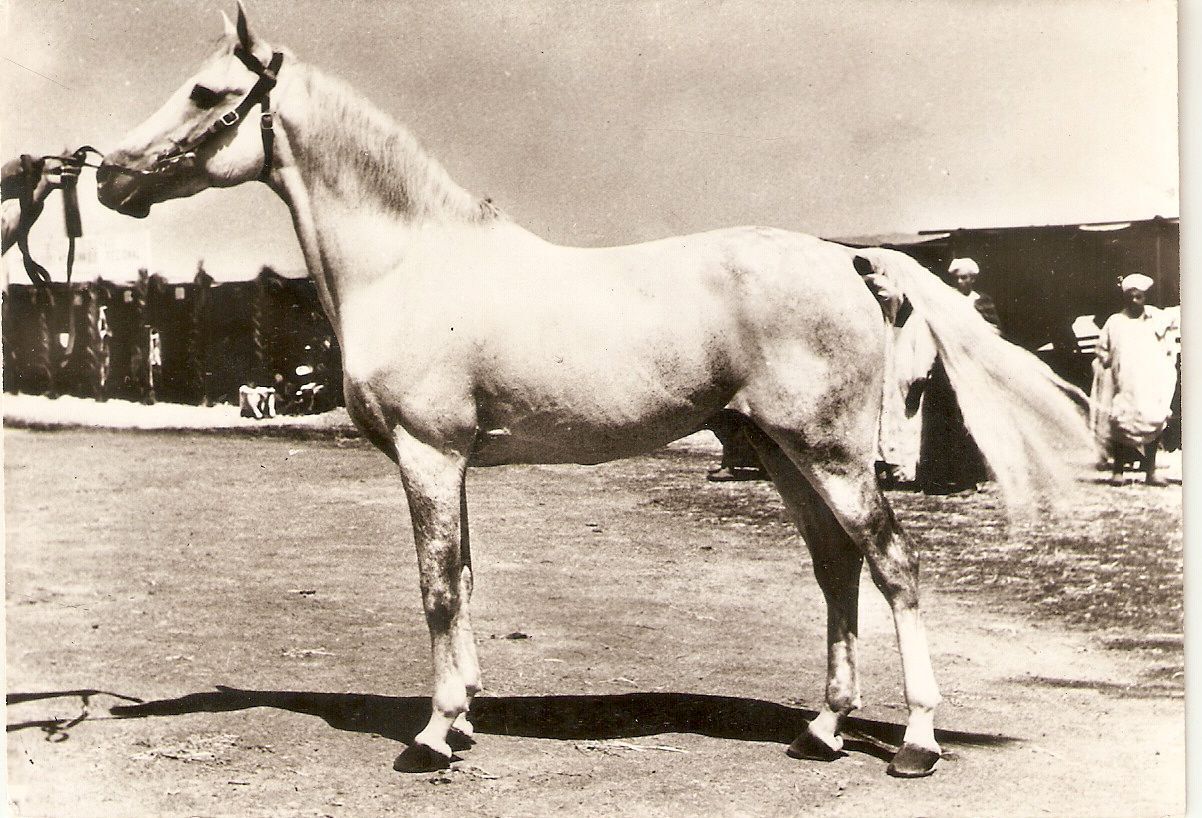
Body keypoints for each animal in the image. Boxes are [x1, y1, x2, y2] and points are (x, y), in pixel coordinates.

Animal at [96, 4, 1091, 778]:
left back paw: (916, 742)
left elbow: (437, 588)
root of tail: (848, 258)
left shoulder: (428, 456)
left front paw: (431, 739)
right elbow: (464, 576)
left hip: (835, 456)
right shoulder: (453, 465)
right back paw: (822, 731)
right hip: (780, 453)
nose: (107, 176)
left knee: (894, 567)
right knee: (836, 569)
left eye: (204, 94)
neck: (409, 263)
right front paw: (464, 719)